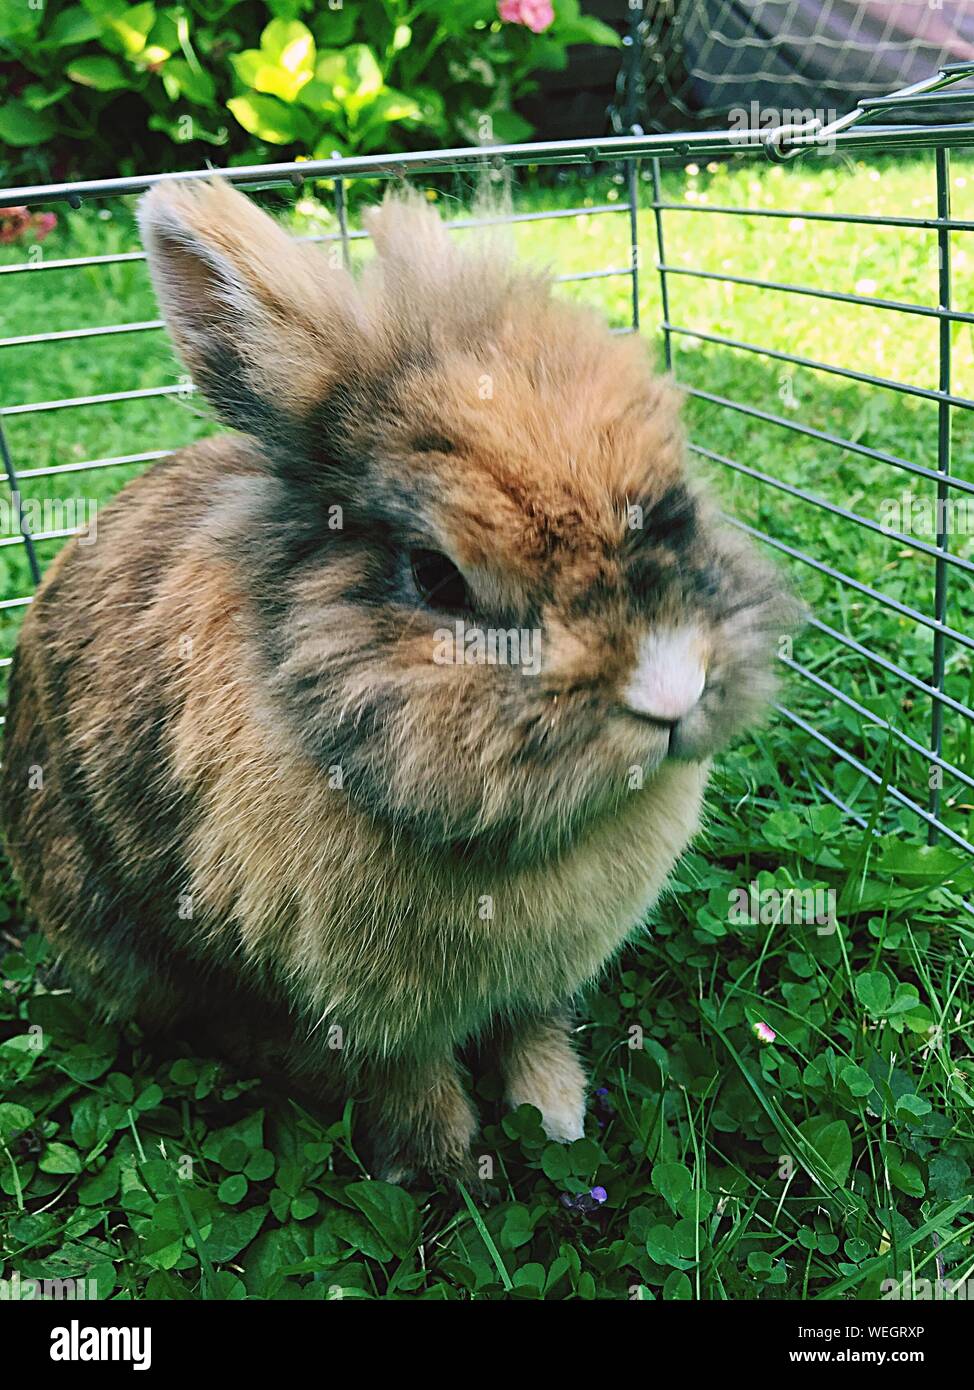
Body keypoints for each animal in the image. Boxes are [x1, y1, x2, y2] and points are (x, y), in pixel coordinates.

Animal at [0, 179, 794, 1186]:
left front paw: (557, 1116)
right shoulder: (365, 1018)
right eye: (437, 577)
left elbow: (534, 1032)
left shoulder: (539, 981)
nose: (672, 693)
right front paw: (452, 1166)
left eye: (677, 506)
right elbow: (413, 1086)